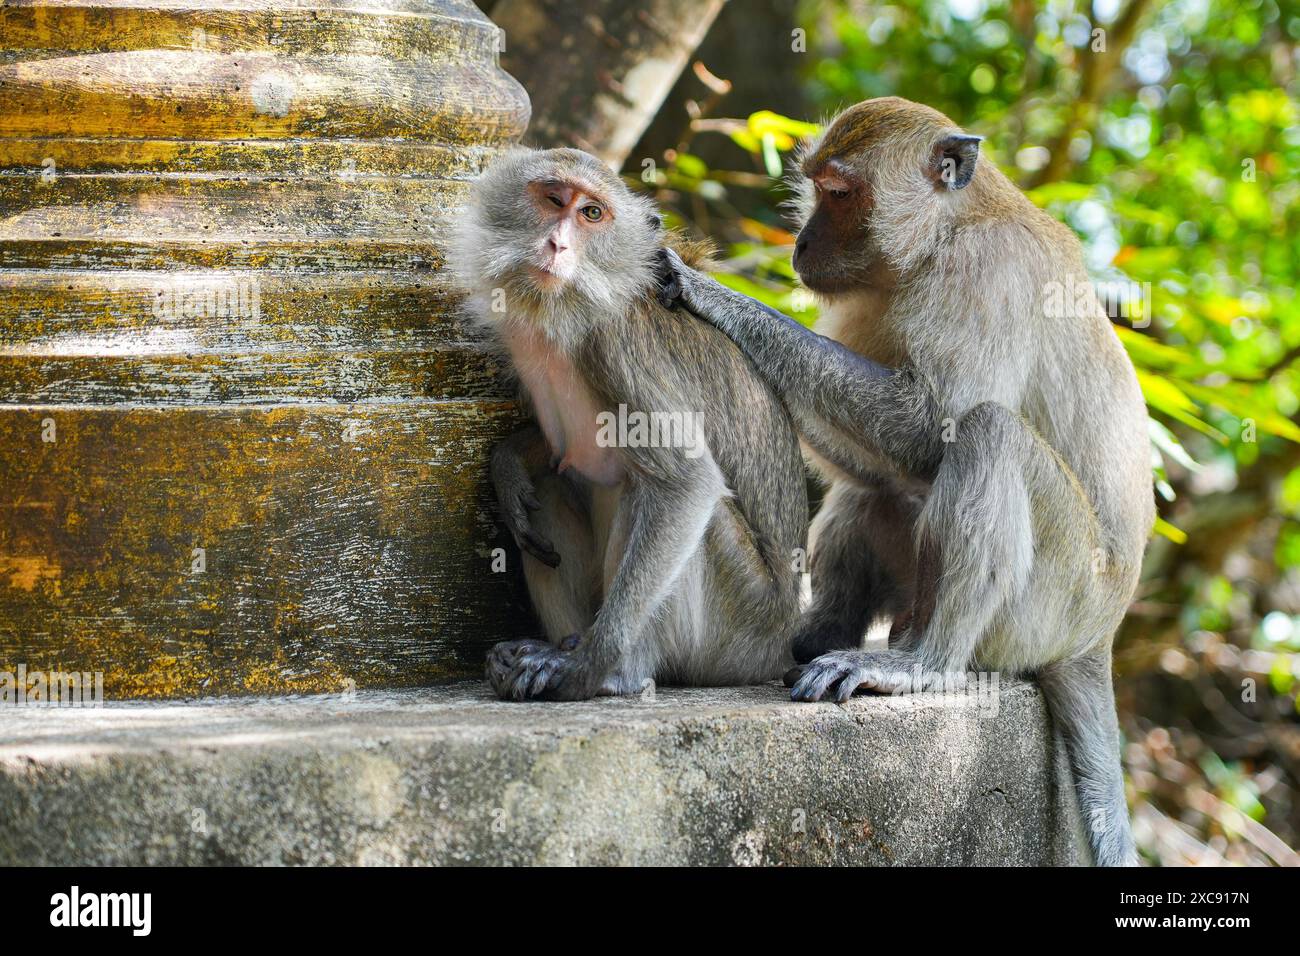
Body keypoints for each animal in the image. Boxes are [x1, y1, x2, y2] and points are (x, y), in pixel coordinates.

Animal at [449, 147, 807, 702]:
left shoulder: (615, 344)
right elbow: (560, 456)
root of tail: (780, 648)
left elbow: (688, 484)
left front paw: (590, 665)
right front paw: (509, 463)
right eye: (554, 200)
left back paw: (619, 671)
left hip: (741, 630)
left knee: (650, 487)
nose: (557, 243)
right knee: (551, 488)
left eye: (592, 214)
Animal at [655, 98, 1155, 866]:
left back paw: (925, 664)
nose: (800, 243)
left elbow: (932, 425)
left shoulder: (985, 273)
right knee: (875, 492)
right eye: (815, 188)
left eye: (839, 193)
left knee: (987, 434)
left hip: (1053, 601)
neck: (944, 234)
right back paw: (818, 634)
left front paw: (718, 297)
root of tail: (1097, 636)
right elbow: (870, 465)